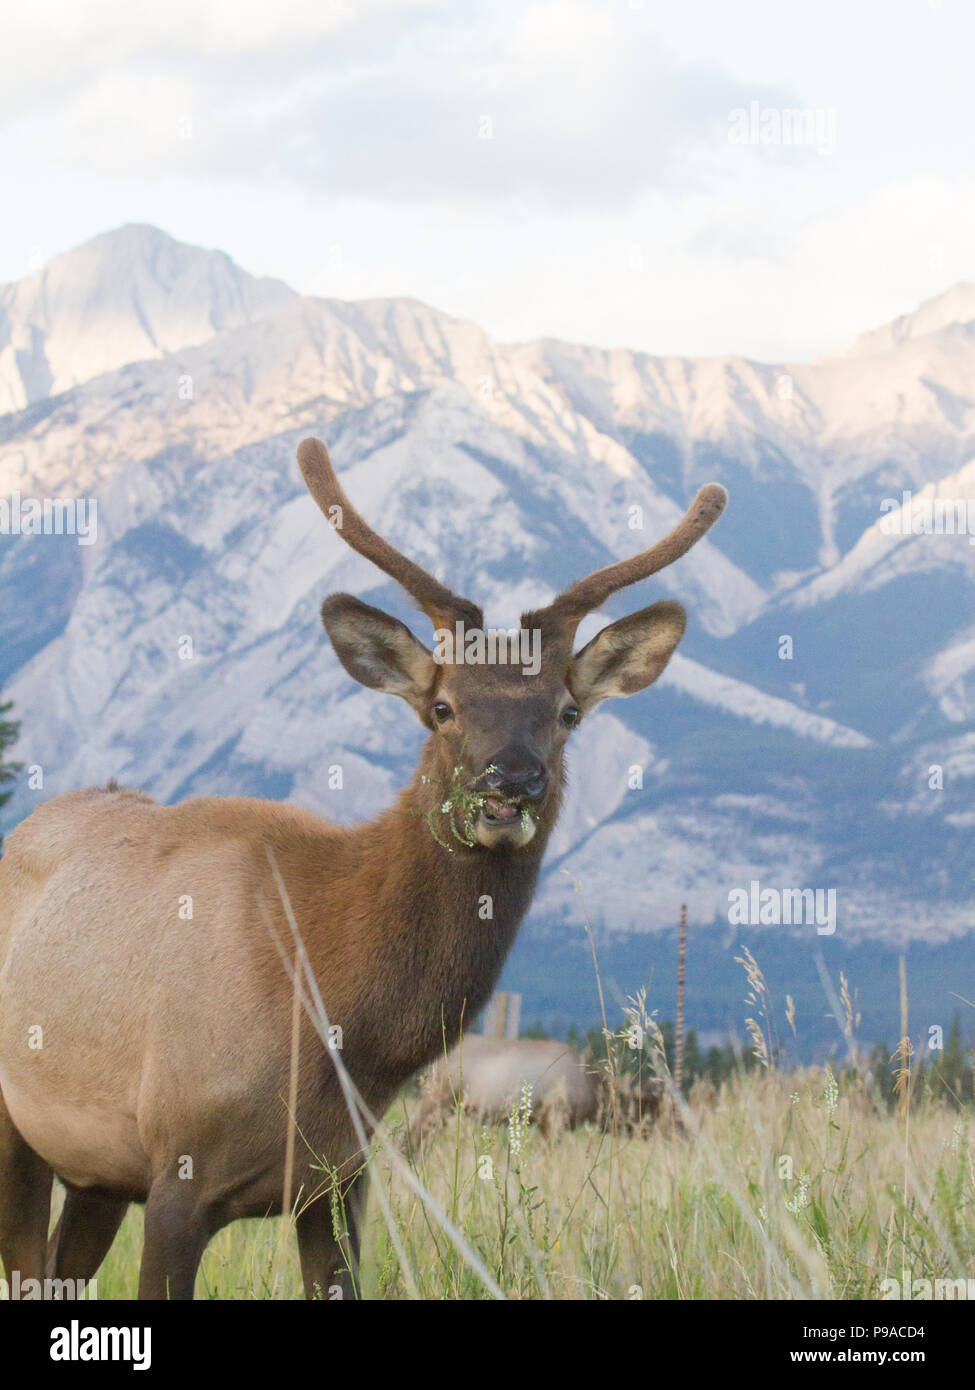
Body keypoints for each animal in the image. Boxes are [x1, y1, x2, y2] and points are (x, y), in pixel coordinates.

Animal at [0, 436, 726, 1299]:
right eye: (443, 707)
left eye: (567, 712)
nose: (509, 785)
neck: (336, 1018)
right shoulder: (178, 1166)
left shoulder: (340, 1180)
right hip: (21, 1131)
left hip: (97, 1173)